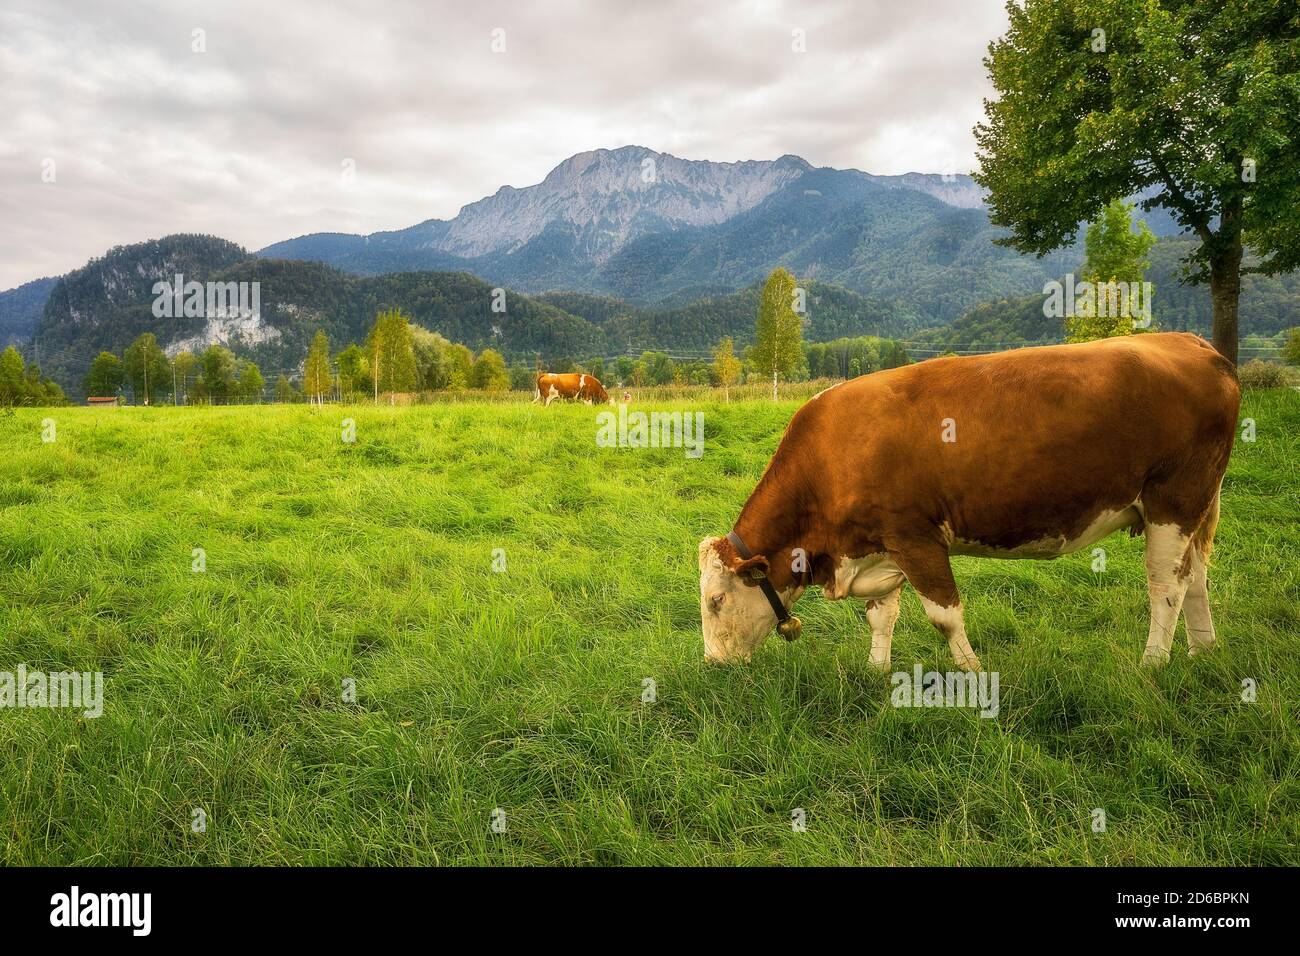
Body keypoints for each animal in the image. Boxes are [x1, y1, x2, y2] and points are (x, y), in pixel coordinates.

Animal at [699, 333, 1239, 670]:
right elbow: (881, 615)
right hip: (1196, 506)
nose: (713, 662)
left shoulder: (915, 536)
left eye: (716, 599)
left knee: (1166, 586)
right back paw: (1202, 651)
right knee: (1196, 576)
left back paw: (1153, 662)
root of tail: (1192, 343)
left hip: (1173, 501)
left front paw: (973, 673)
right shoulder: (879, 543)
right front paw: (876, 671)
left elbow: (944, 616)